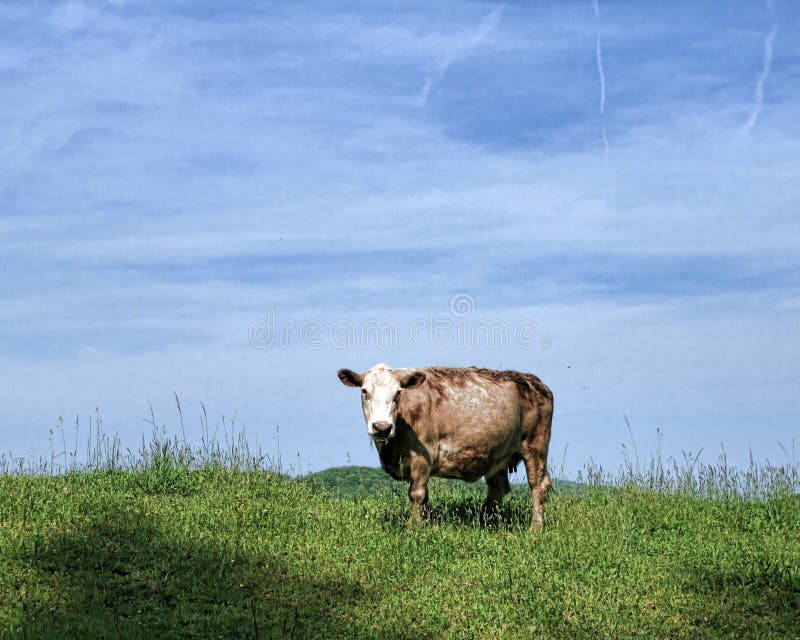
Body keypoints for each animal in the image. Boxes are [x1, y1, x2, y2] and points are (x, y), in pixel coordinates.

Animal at [337, 363, 554, 530]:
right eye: (364, 391)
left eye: (398, 393)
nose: (382, 427)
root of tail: (534, 382)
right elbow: (424, 496)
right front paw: (427, 523)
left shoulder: (422, 457)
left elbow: (416, 494)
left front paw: (414, 527)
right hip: (498, 453)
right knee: (498, 488)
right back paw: (484, 522)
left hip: (535, 444)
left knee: (538, 486)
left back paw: (535, 528)